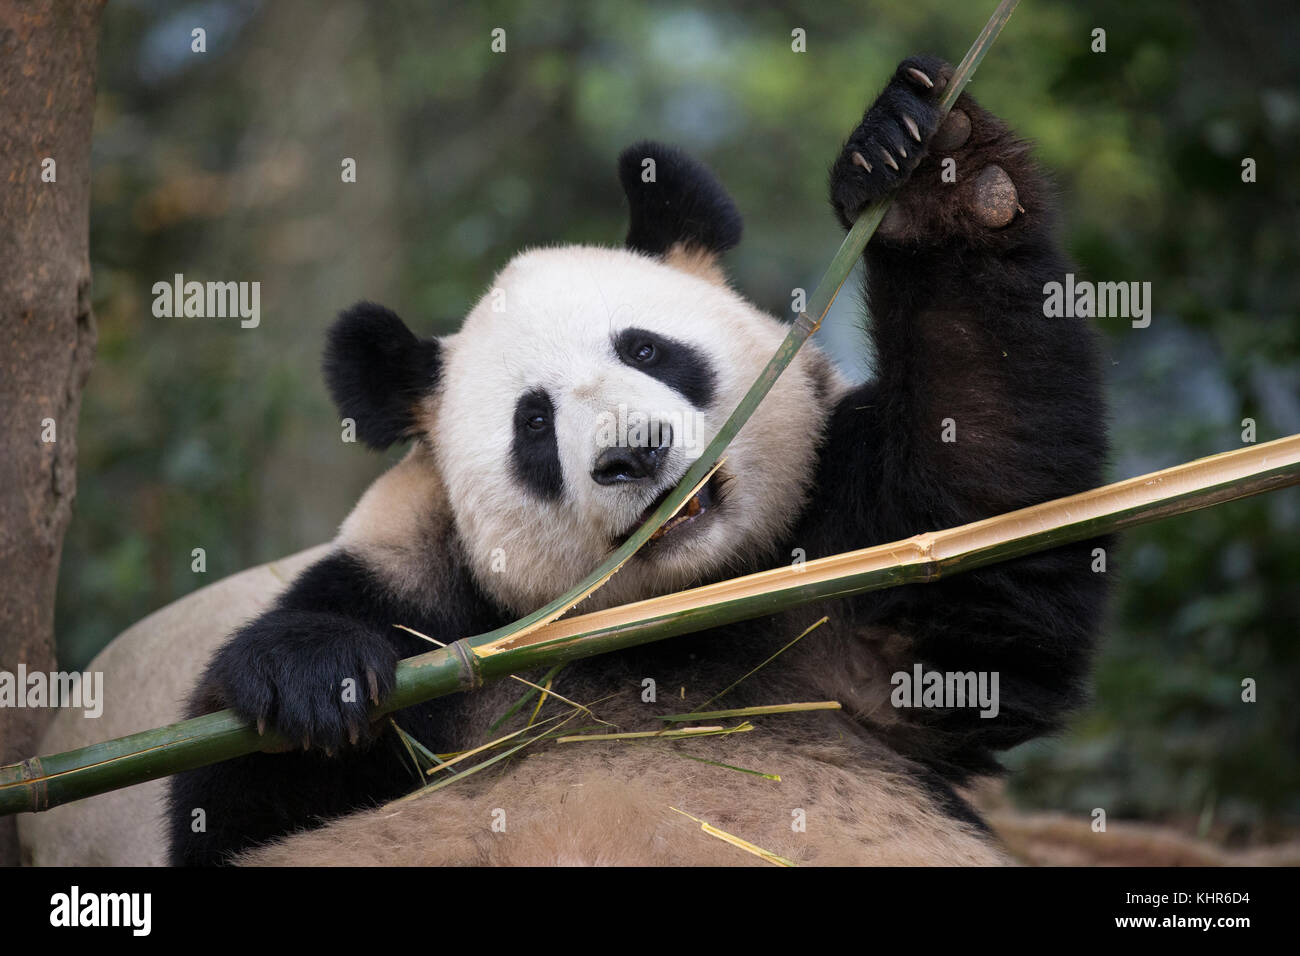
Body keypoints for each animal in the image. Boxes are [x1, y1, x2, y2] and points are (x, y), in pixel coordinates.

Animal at [167, 55, 1109, 866]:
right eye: (534, 423)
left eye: (647, 350)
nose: (631, 453)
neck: (666, 623)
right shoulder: (428, 614)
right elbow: (231, 812)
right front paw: (312, 681)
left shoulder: (844, 581)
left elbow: (983, 514)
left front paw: (935, 167)